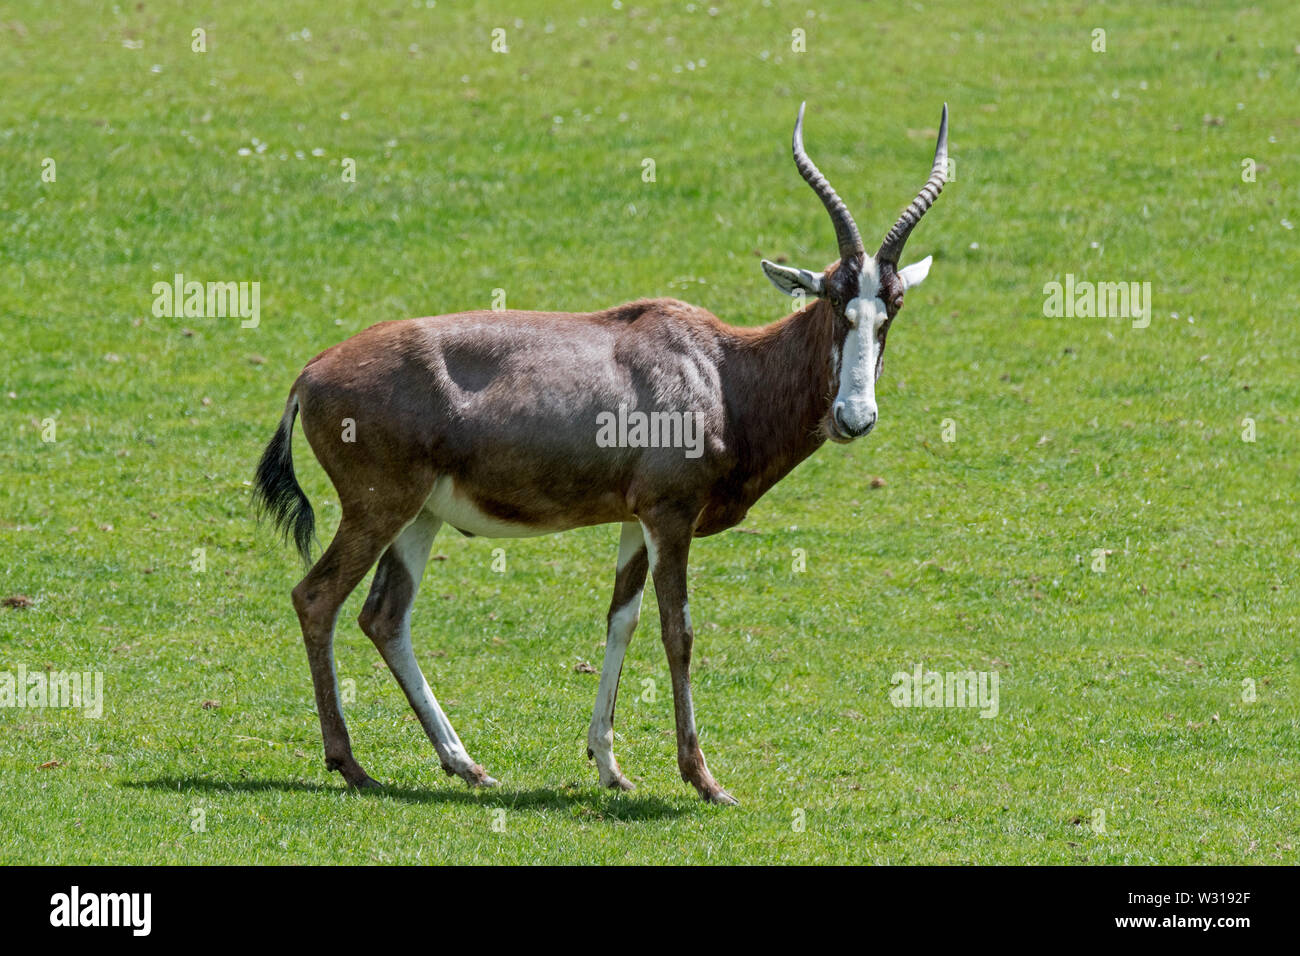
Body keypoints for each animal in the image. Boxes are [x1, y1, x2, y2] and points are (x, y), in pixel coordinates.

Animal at [253, 102, 949, 805]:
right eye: (834, 298)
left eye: (891, 306)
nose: (853, 417)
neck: (720, 367)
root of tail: (309, 374)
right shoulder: (671, 517)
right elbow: (678, 631)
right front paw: (704, 780)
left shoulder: (635, 521)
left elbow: (622, 620)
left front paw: (610, 767)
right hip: (377, 511)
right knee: (318, 598)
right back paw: (351, 764)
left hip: (419, 518)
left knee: (385, 617)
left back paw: (465, 764)